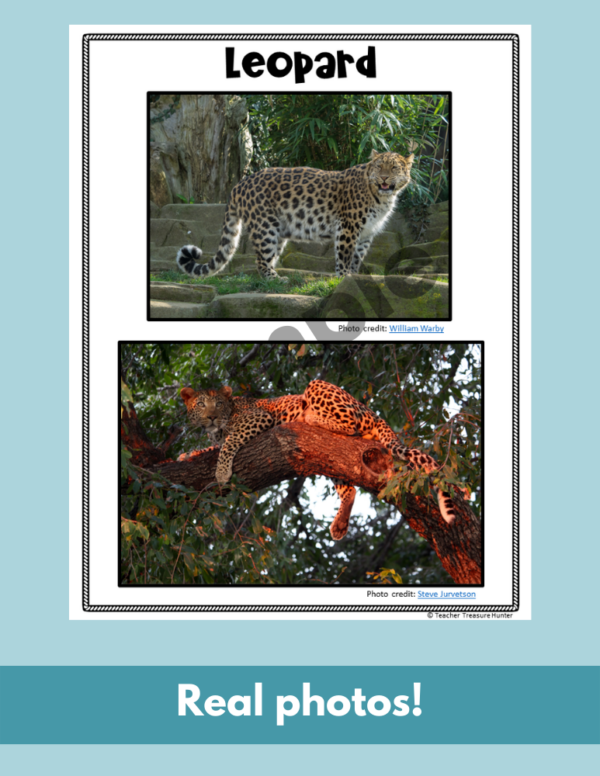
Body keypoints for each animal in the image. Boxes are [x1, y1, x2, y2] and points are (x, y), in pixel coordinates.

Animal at [176, 149, 414, 280]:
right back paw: (276, 280)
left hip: (279, 230)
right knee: (260, 261)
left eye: (394, 168)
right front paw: (344, 277)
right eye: (379, 167)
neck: (382, 198)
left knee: (268, 258)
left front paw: (353, 278)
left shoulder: (366, 233)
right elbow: (345, 255)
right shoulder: (348, 227)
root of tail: (239, 184)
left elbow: (357, 256)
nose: (384, 178)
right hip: (265, 227)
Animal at [179, 379, 461, 541]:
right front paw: (187, 454)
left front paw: (221, 472)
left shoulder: (258, 419)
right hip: (331, 459)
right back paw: (340, 525)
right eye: (201, 404)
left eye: (218, 404)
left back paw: (310, 416)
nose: (212, 416)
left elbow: (228, 442)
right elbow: (210, 447)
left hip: (320, 387)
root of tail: (374, 413)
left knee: (350, 423)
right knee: (349, 490)